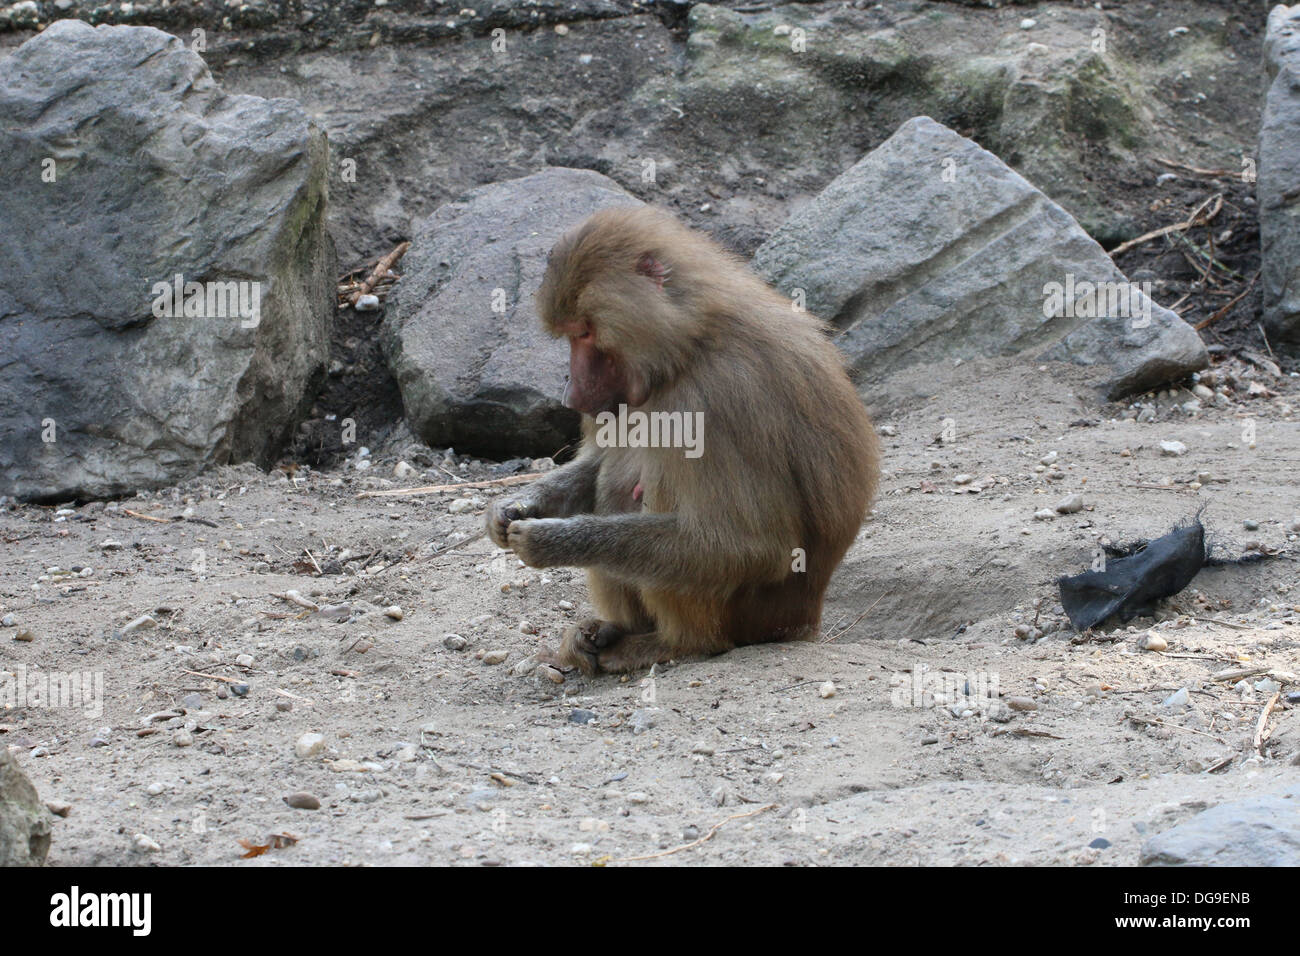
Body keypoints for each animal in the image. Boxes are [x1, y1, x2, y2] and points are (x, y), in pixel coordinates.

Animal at [485, 206, 880, 675]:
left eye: (584, 333)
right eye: (570, 334)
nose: (571, 397)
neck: (689, 344)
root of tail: (804, 620)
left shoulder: (716, 399)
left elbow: (752, 546)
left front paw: (553, 541)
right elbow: (599, 459)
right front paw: (511, 508)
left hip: (746, 619)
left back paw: (669, 644)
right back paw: (604, 634)